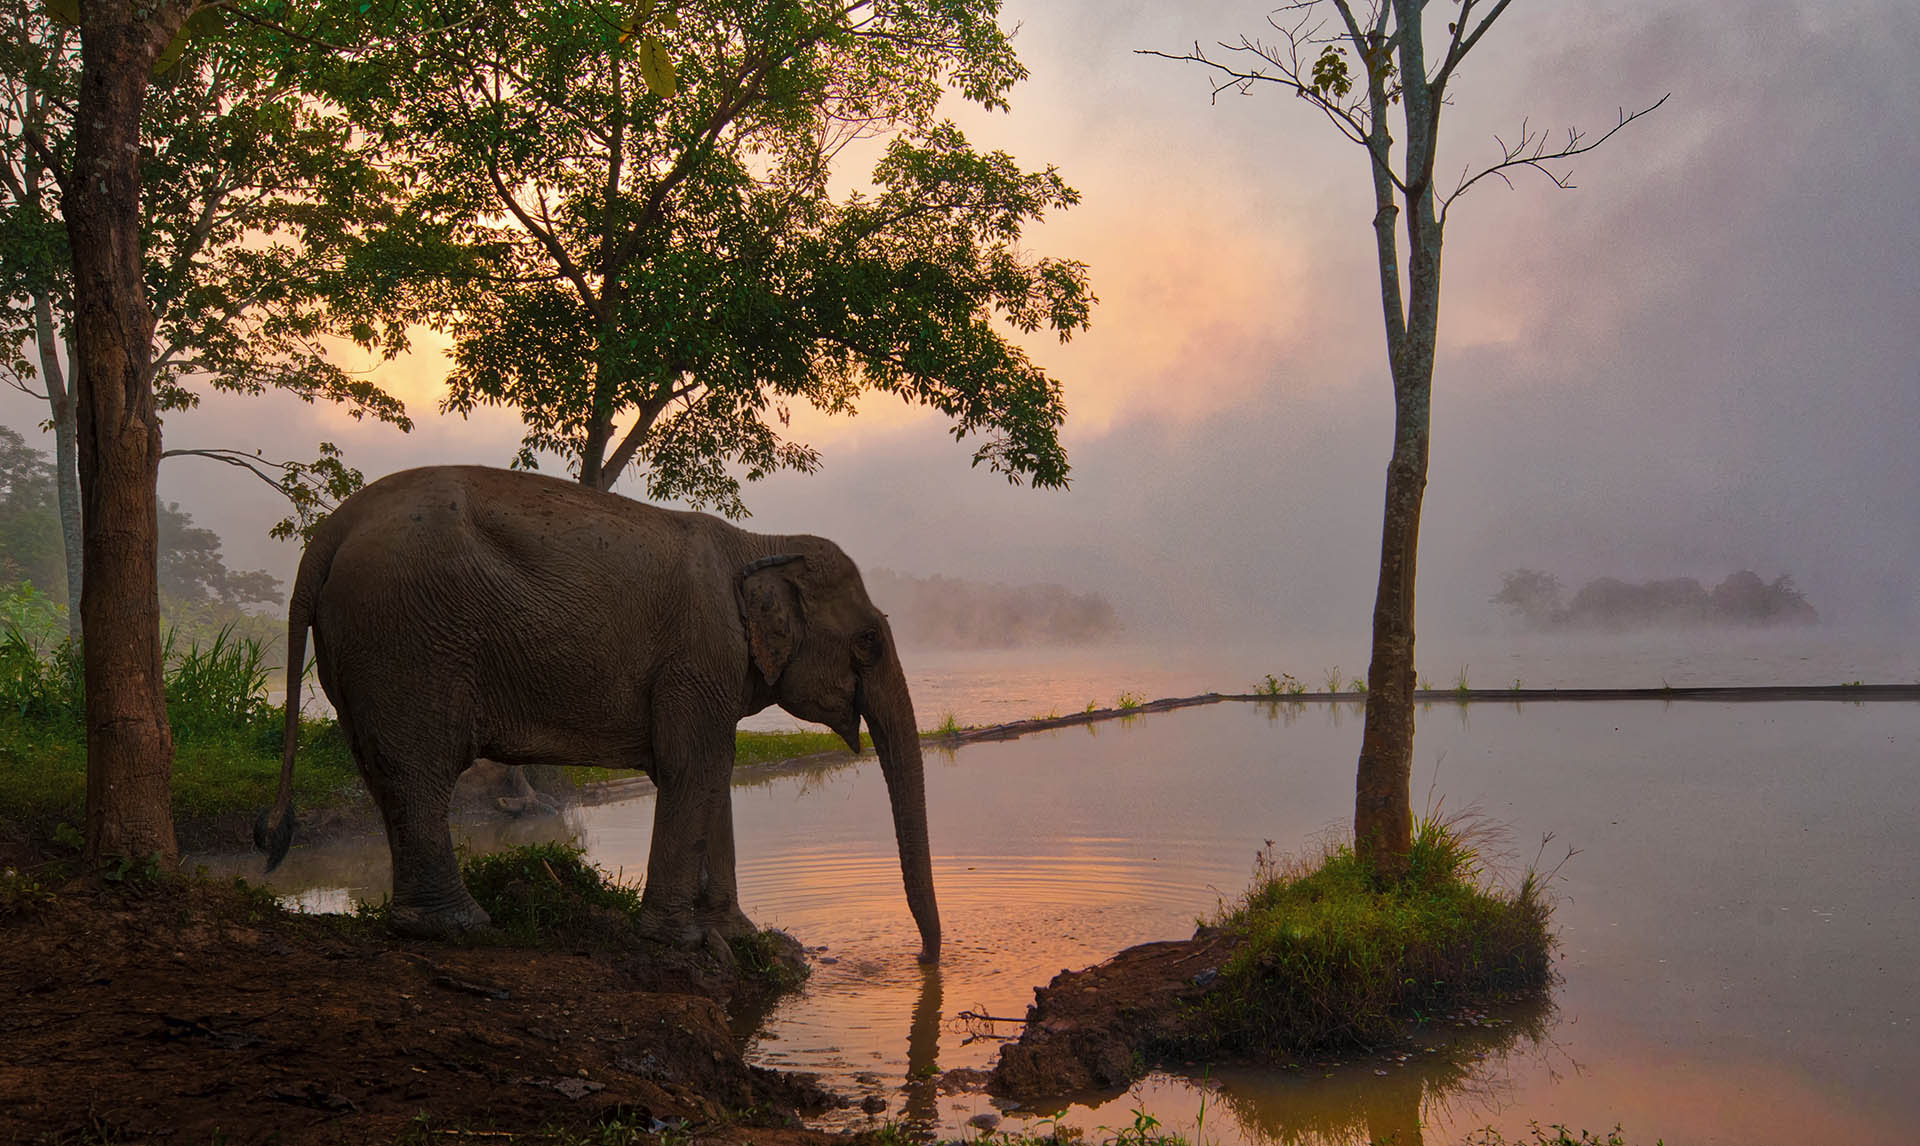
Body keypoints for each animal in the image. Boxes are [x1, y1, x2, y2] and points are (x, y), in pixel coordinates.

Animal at [256, 465, 940, 962]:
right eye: (869, 642)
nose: (925, 960)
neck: (760, 543)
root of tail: (329, 531)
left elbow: (711, 773)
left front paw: (741, 936)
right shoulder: (698, 653)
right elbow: (695, 766)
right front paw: (685, 943)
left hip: (367, 647)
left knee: (384, 772)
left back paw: (429, 922)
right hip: (410, 638)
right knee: (420, 771)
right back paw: (464, 926)